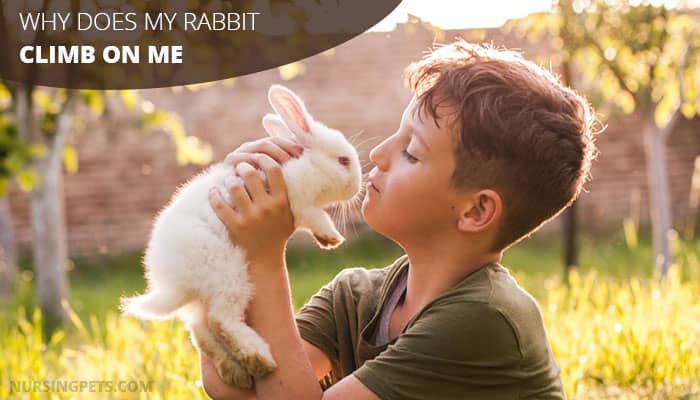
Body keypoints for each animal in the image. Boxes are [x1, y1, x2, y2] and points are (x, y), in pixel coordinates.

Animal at [120, 84, 362, 389]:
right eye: (343, 161)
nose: (357, 186)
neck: (307, 163)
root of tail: (173, 284)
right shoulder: (298, 202)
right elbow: (315, 216)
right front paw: (331, 238)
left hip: (206, 295)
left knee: (200, 330)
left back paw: (236, 372)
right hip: (229, 274)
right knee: (219, 320)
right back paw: (259, 358)